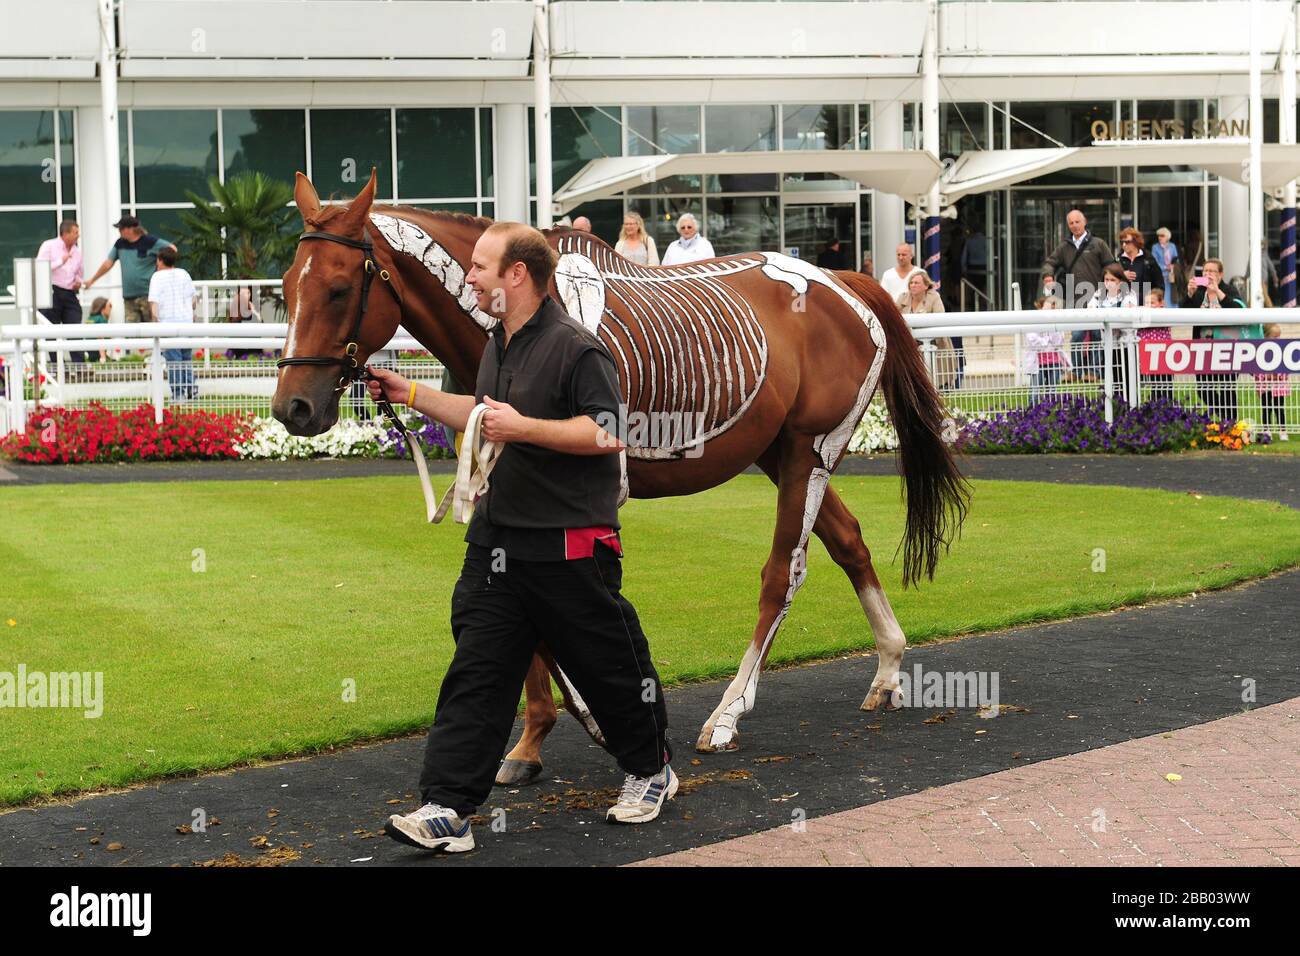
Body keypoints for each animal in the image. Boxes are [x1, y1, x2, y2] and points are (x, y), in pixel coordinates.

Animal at [272, 170, 969, 783]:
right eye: (286, 284)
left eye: (339, 288)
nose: (293, 408)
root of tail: (841, 281)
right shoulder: (505, 475)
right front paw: (529, 742)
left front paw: (599, 722)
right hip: (777, 450)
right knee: (848, 539)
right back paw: (887, 666)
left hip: (809, 448)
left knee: (785, 570)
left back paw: (728, 714)